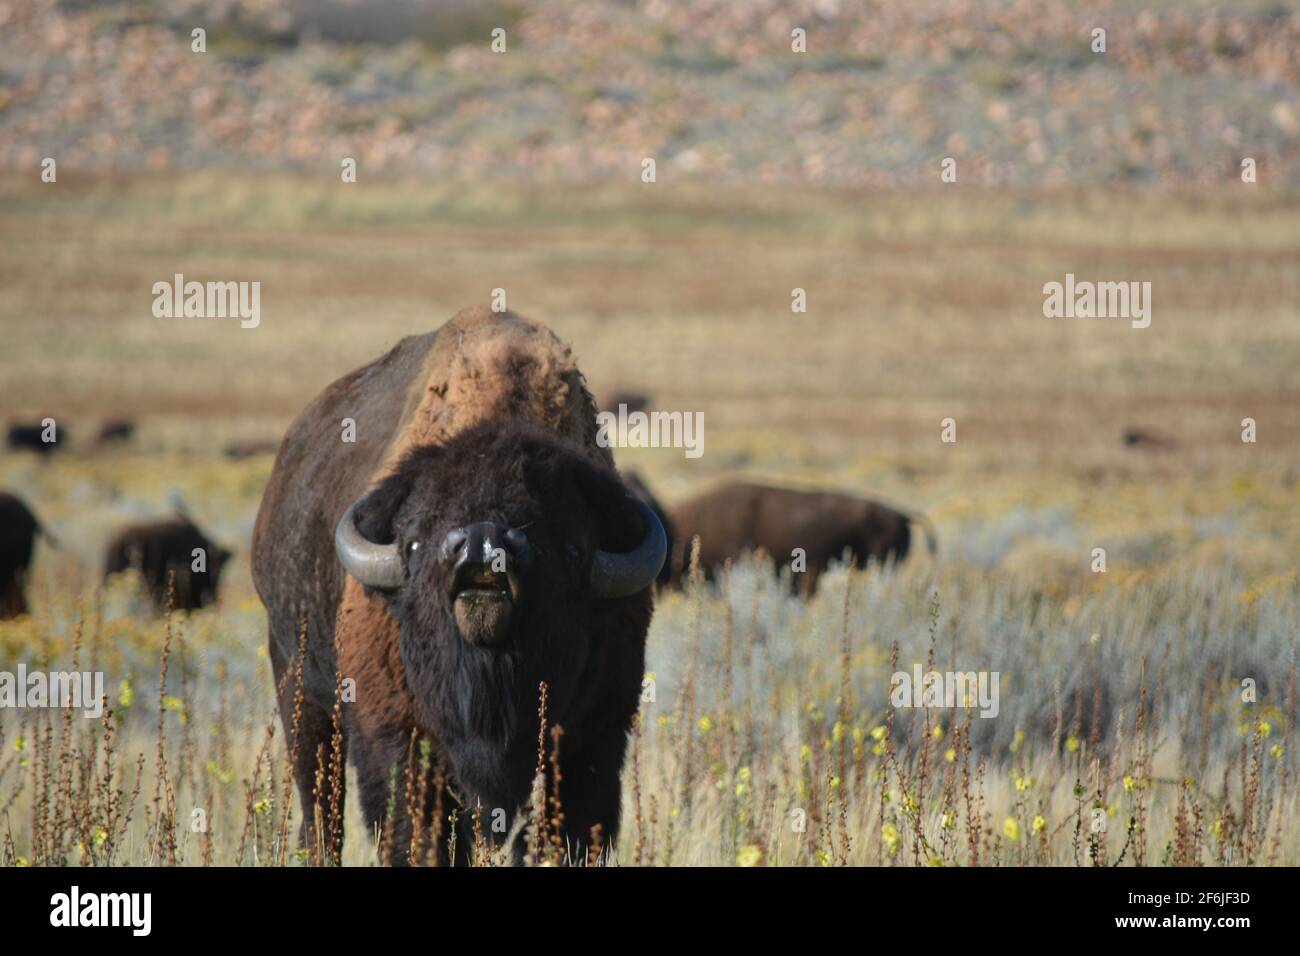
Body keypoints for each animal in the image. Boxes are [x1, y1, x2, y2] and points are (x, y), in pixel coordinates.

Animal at [251, 307, 665, 865]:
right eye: (414, 541)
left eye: (573, 548)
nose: (481, 543)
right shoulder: (401, 740)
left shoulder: (591, 742)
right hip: (300, 689)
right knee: (321, 809)